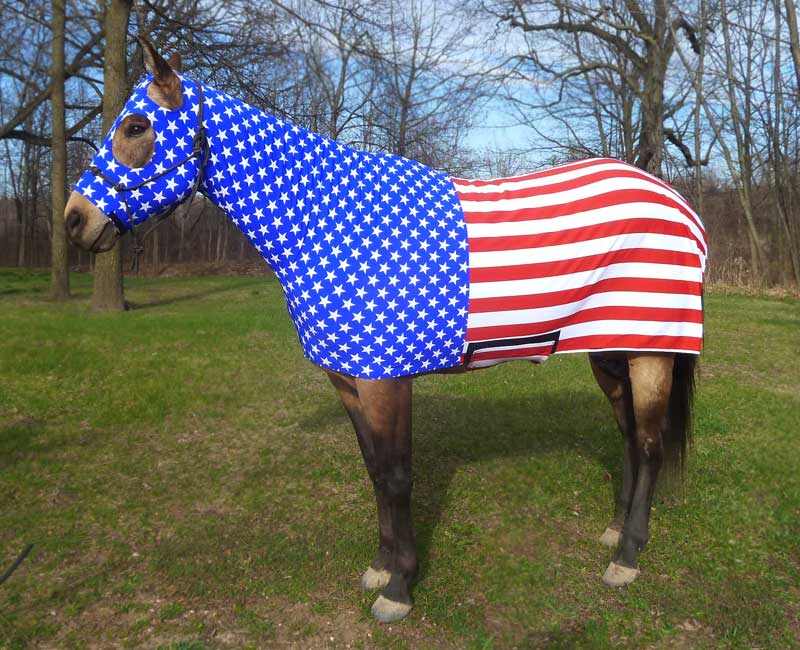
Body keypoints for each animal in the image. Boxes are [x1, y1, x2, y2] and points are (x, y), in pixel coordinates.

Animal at [64, 38, 707, 624]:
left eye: (137, 126)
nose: (75, 221)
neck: (326, 220)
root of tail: (681, 208)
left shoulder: (386, 381)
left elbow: (397, 475)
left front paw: (399, 589)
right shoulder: (349, 380)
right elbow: (374, 469)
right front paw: (381, 566)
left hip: (652, 353)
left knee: (649, 444)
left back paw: (626, 557)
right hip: (615, 351)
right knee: (628, 436)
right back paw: (615, 531)